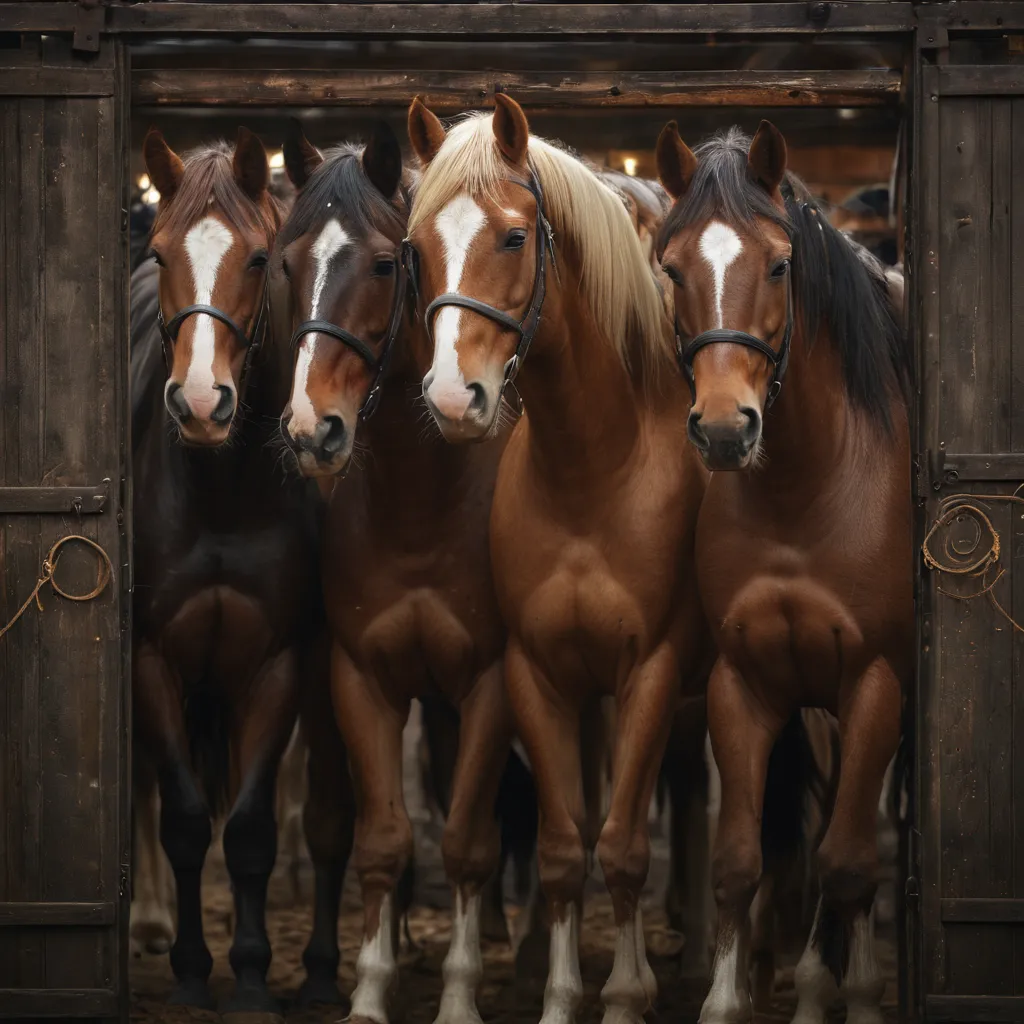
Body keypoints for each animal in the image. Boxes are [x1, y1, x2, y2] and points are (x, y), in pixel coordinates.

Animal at [130, 128, 353, 1013]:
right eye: (159, 253)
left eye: (259, 258)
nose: (199, 404)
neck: (221, 494)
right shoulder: (152, 660)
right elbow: (187, 820)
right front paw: (194, 970)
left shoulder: (277, 663)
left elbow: (252, 828)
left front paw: (255, 973)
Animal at [276, 119, 518, 1024]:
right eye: (284, 262)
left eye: (386, 263)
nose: (312, 429)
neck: (423, 497)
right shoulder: (362, 678)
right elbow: (381, 837)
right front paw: (371, 991)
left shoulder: (490, 680)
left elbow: (469, 840)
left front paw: (459, 995)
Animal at [405, 93, 710, 1024]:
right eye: (414, 247)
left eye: (512, 238)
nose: (452, 399)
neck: (593, 469)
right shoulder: (537, 672)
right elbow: (568, 847)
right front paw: (562, 993)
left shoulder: (652, 671)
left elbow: (624, 846)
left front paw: (627, 995)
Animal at [655, 120, 911, 1024]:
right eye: (672, 268)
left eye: (777, 265)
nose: (727, 428)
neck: (808, 486)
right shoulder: (744, 683)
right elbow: (738, 860)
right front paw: (731, 996)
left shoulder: (874, 684)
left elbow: (849, 862)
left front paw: (846, 991)